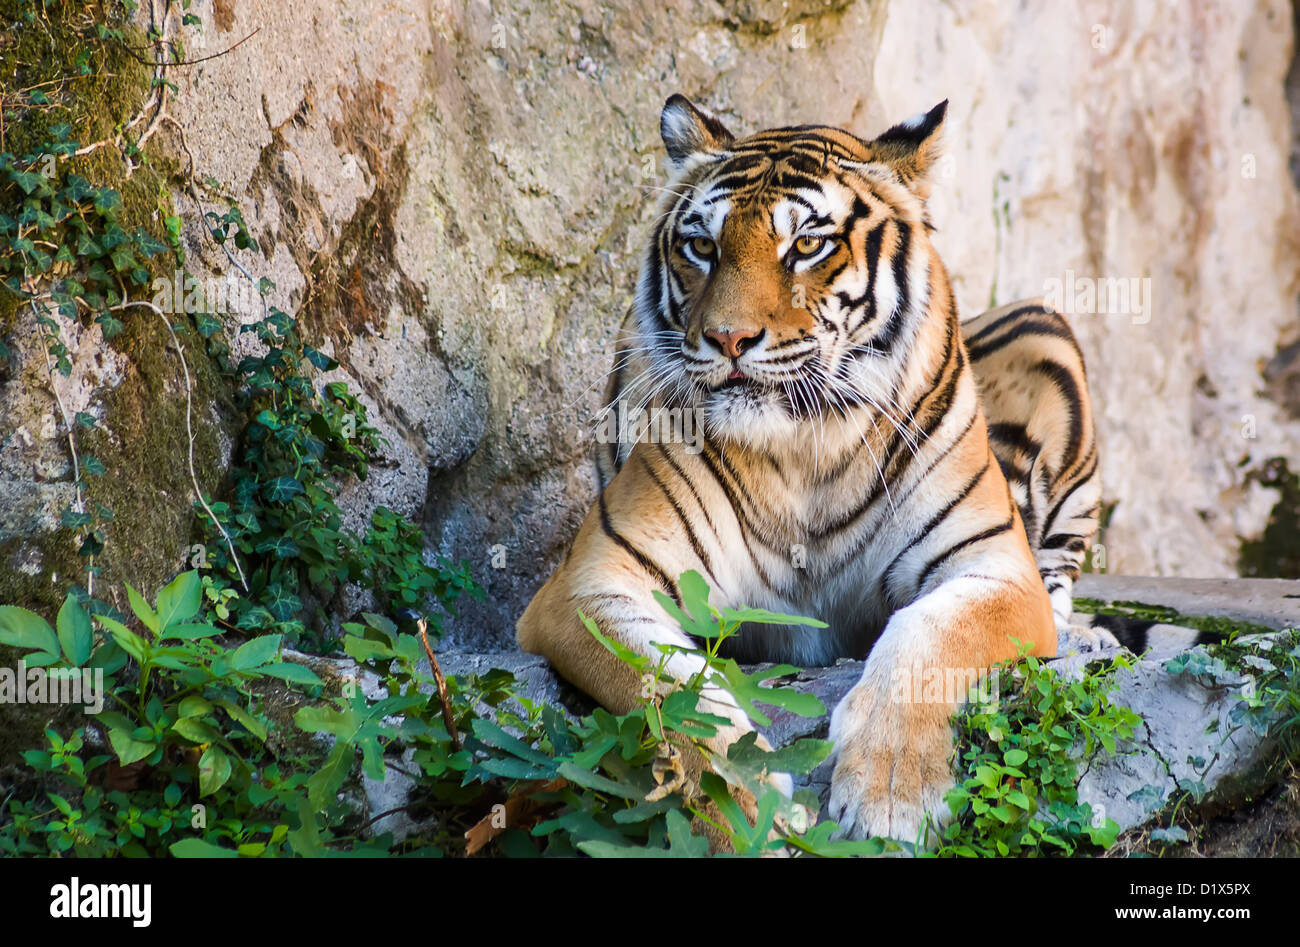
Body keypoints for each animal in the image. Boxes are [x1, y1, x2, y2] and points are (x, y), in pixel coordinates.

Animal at [516, 94, 1205, 845]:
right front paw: (747, 813)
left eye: (807, 246)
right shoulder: (591, 583)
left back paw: (1080, 643)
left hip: (1044, 324)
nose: (727, 338)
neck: (805, 445)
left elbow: (930, 637)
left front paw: (890, 792)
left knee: (1059, 592)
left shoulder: (994, 566)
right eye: (702, 246)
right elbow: (669, 693)